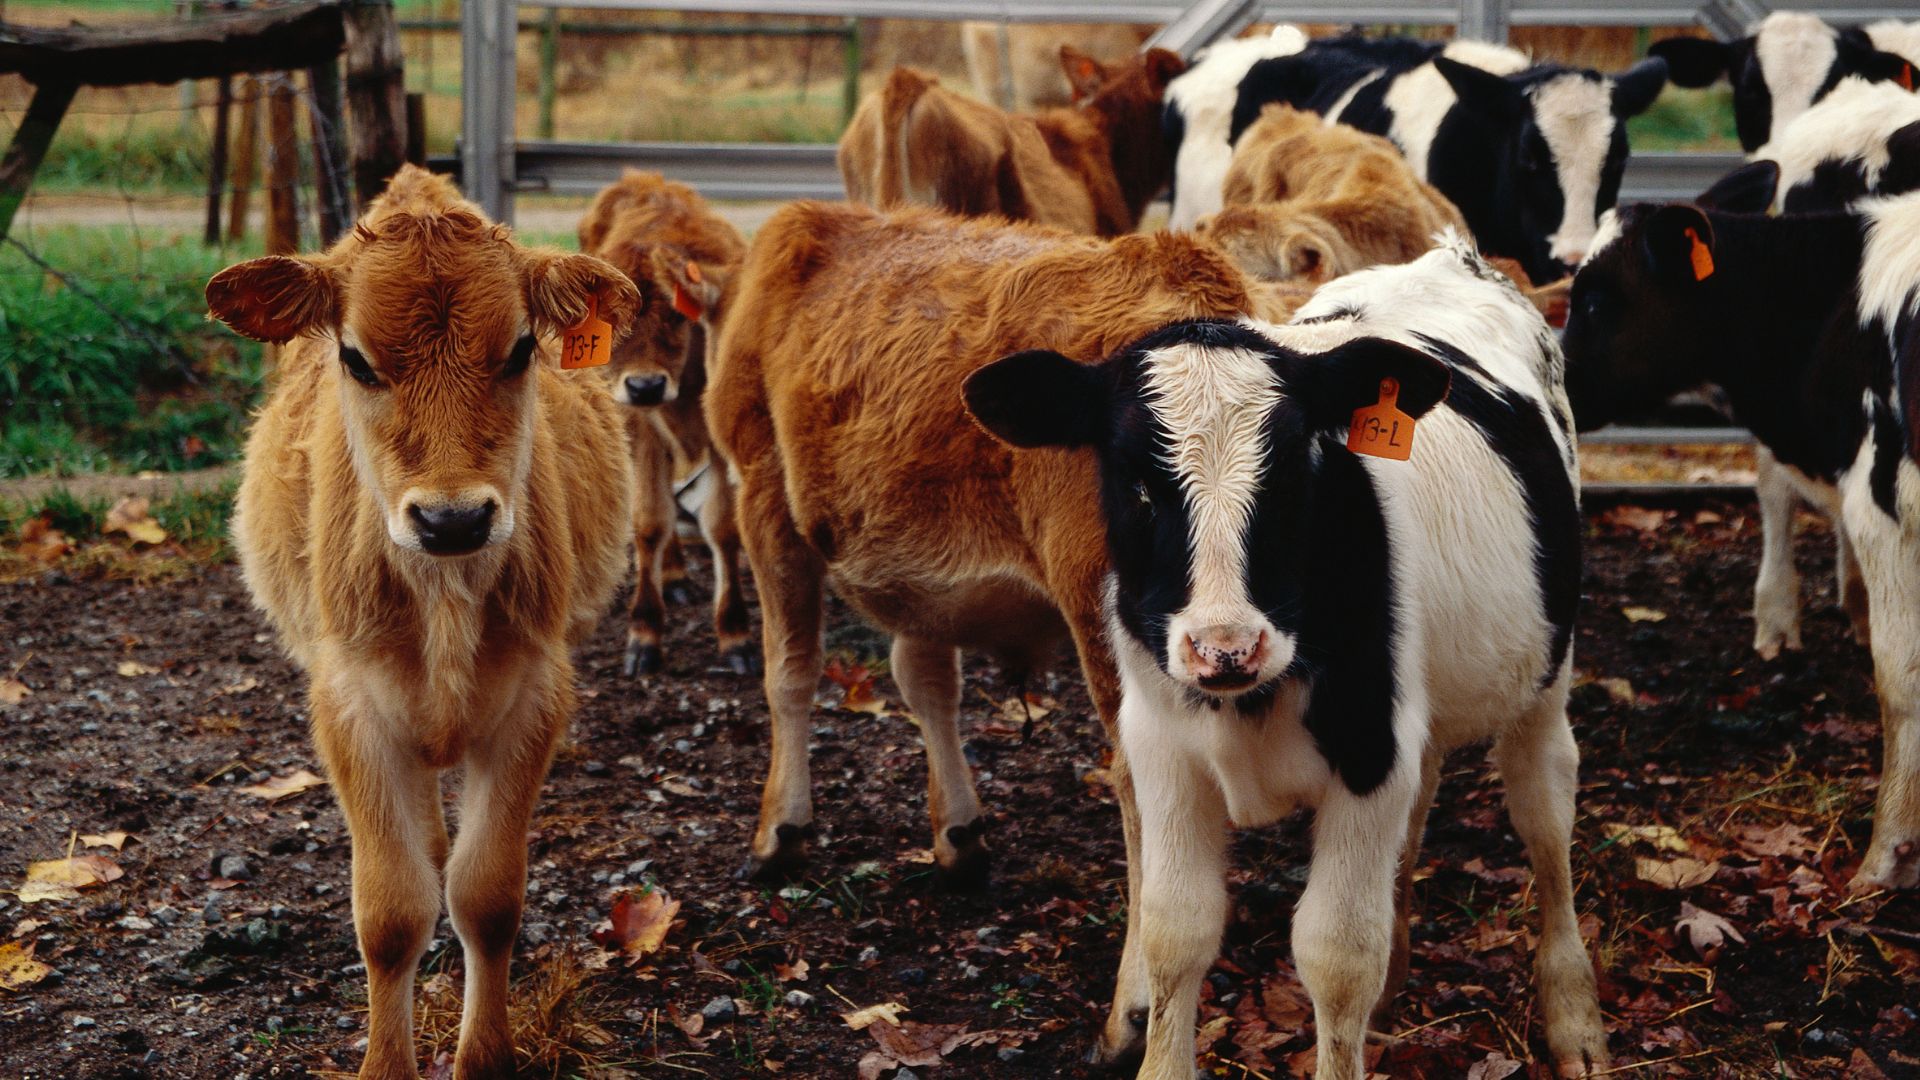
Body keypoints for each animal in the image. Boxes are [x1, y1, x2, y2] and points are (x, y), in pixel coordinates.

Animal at [205, 165, 638, 1077]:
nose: (452, 518)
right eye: (357, 359)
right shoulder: (349, 710)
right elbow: (392, 910)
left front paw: (485, 1056)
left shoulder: (533, 699)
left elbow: (487, 895)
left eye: (520, 351)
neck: (443, 594)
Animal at [576, 170, 754, 676]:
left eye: (677, 314)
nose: (646, 386)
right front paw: (644, 636)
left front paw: (736, 638)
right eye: (610, 317)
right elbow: (650, 521)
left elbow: (722, 527)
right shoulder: (640, 430)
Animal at [701, 201, 1257, 1065]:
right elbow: (926, 682)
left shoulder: (767, 497)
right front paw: (956, 835)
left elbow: (789, 672)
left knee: (1146, 791)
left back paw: (1130, 1013)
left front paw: (778, 830)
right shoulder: (921, 575)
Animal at [964, 233, 1605, 1079]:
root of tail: (1449, 257)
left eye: (1298, 465)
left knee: (1545, 820)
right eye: (1135, 483)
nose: (1225, 646)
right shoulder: (1163, 748)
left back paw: (1575, 1019)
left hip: (1543, 678)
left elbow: (1336, 956)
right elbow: (1176, 930)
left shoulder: (1369, 753)